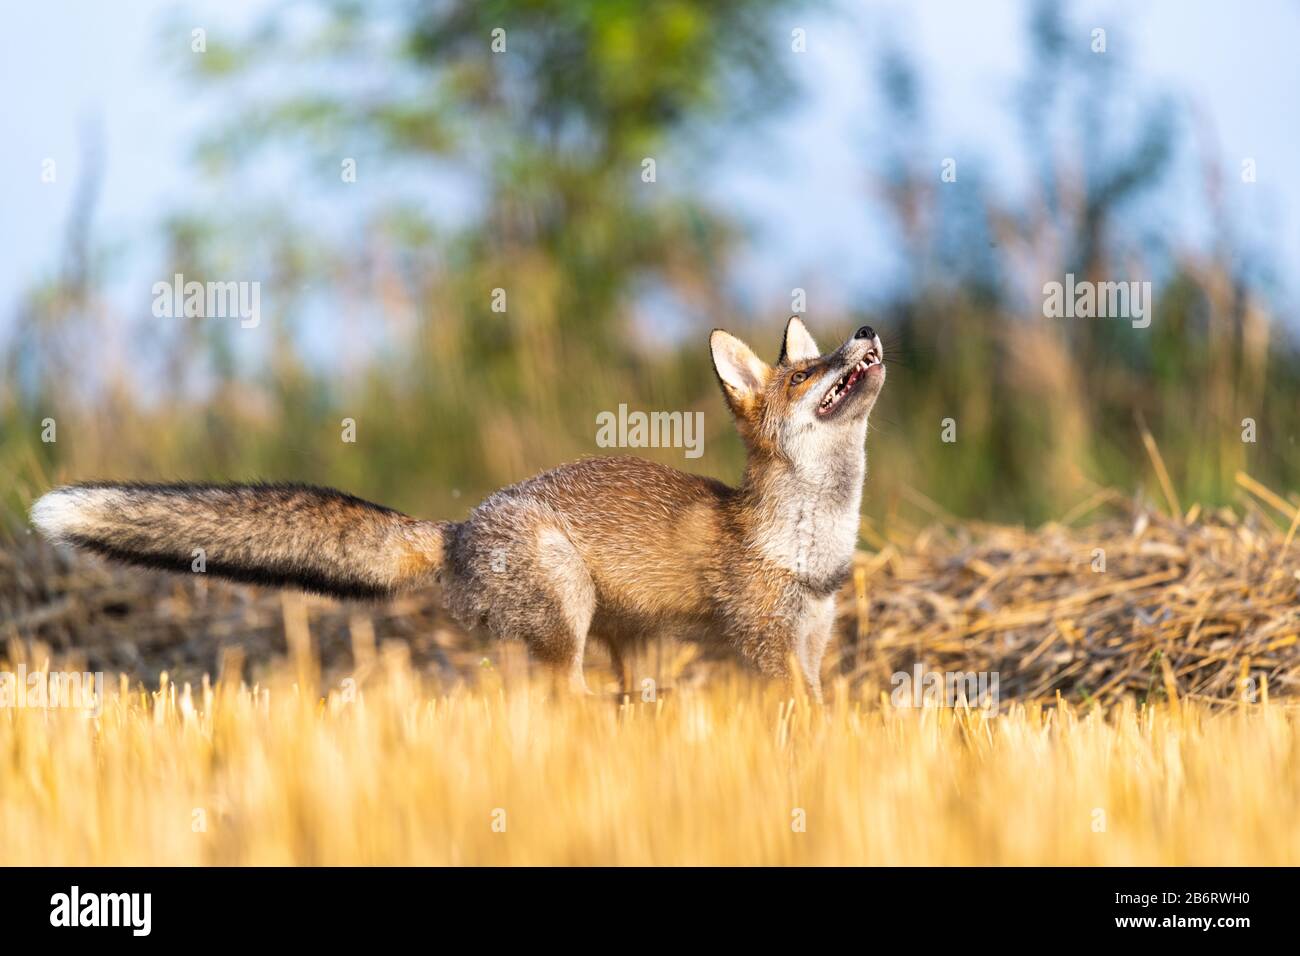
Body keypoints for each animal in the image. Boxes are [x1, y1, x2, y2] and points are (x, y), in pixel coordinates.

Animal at [30, 318, 884, 698]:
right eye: (806, 373)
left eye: (823, 356)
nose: (867, 330)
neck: (806, 546)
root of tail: (456, 529)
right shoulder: (768, 648)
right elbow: (806, 717)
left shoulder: (810, 640)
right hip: (565, 620)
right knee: (556, 703)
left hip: (623, 642)